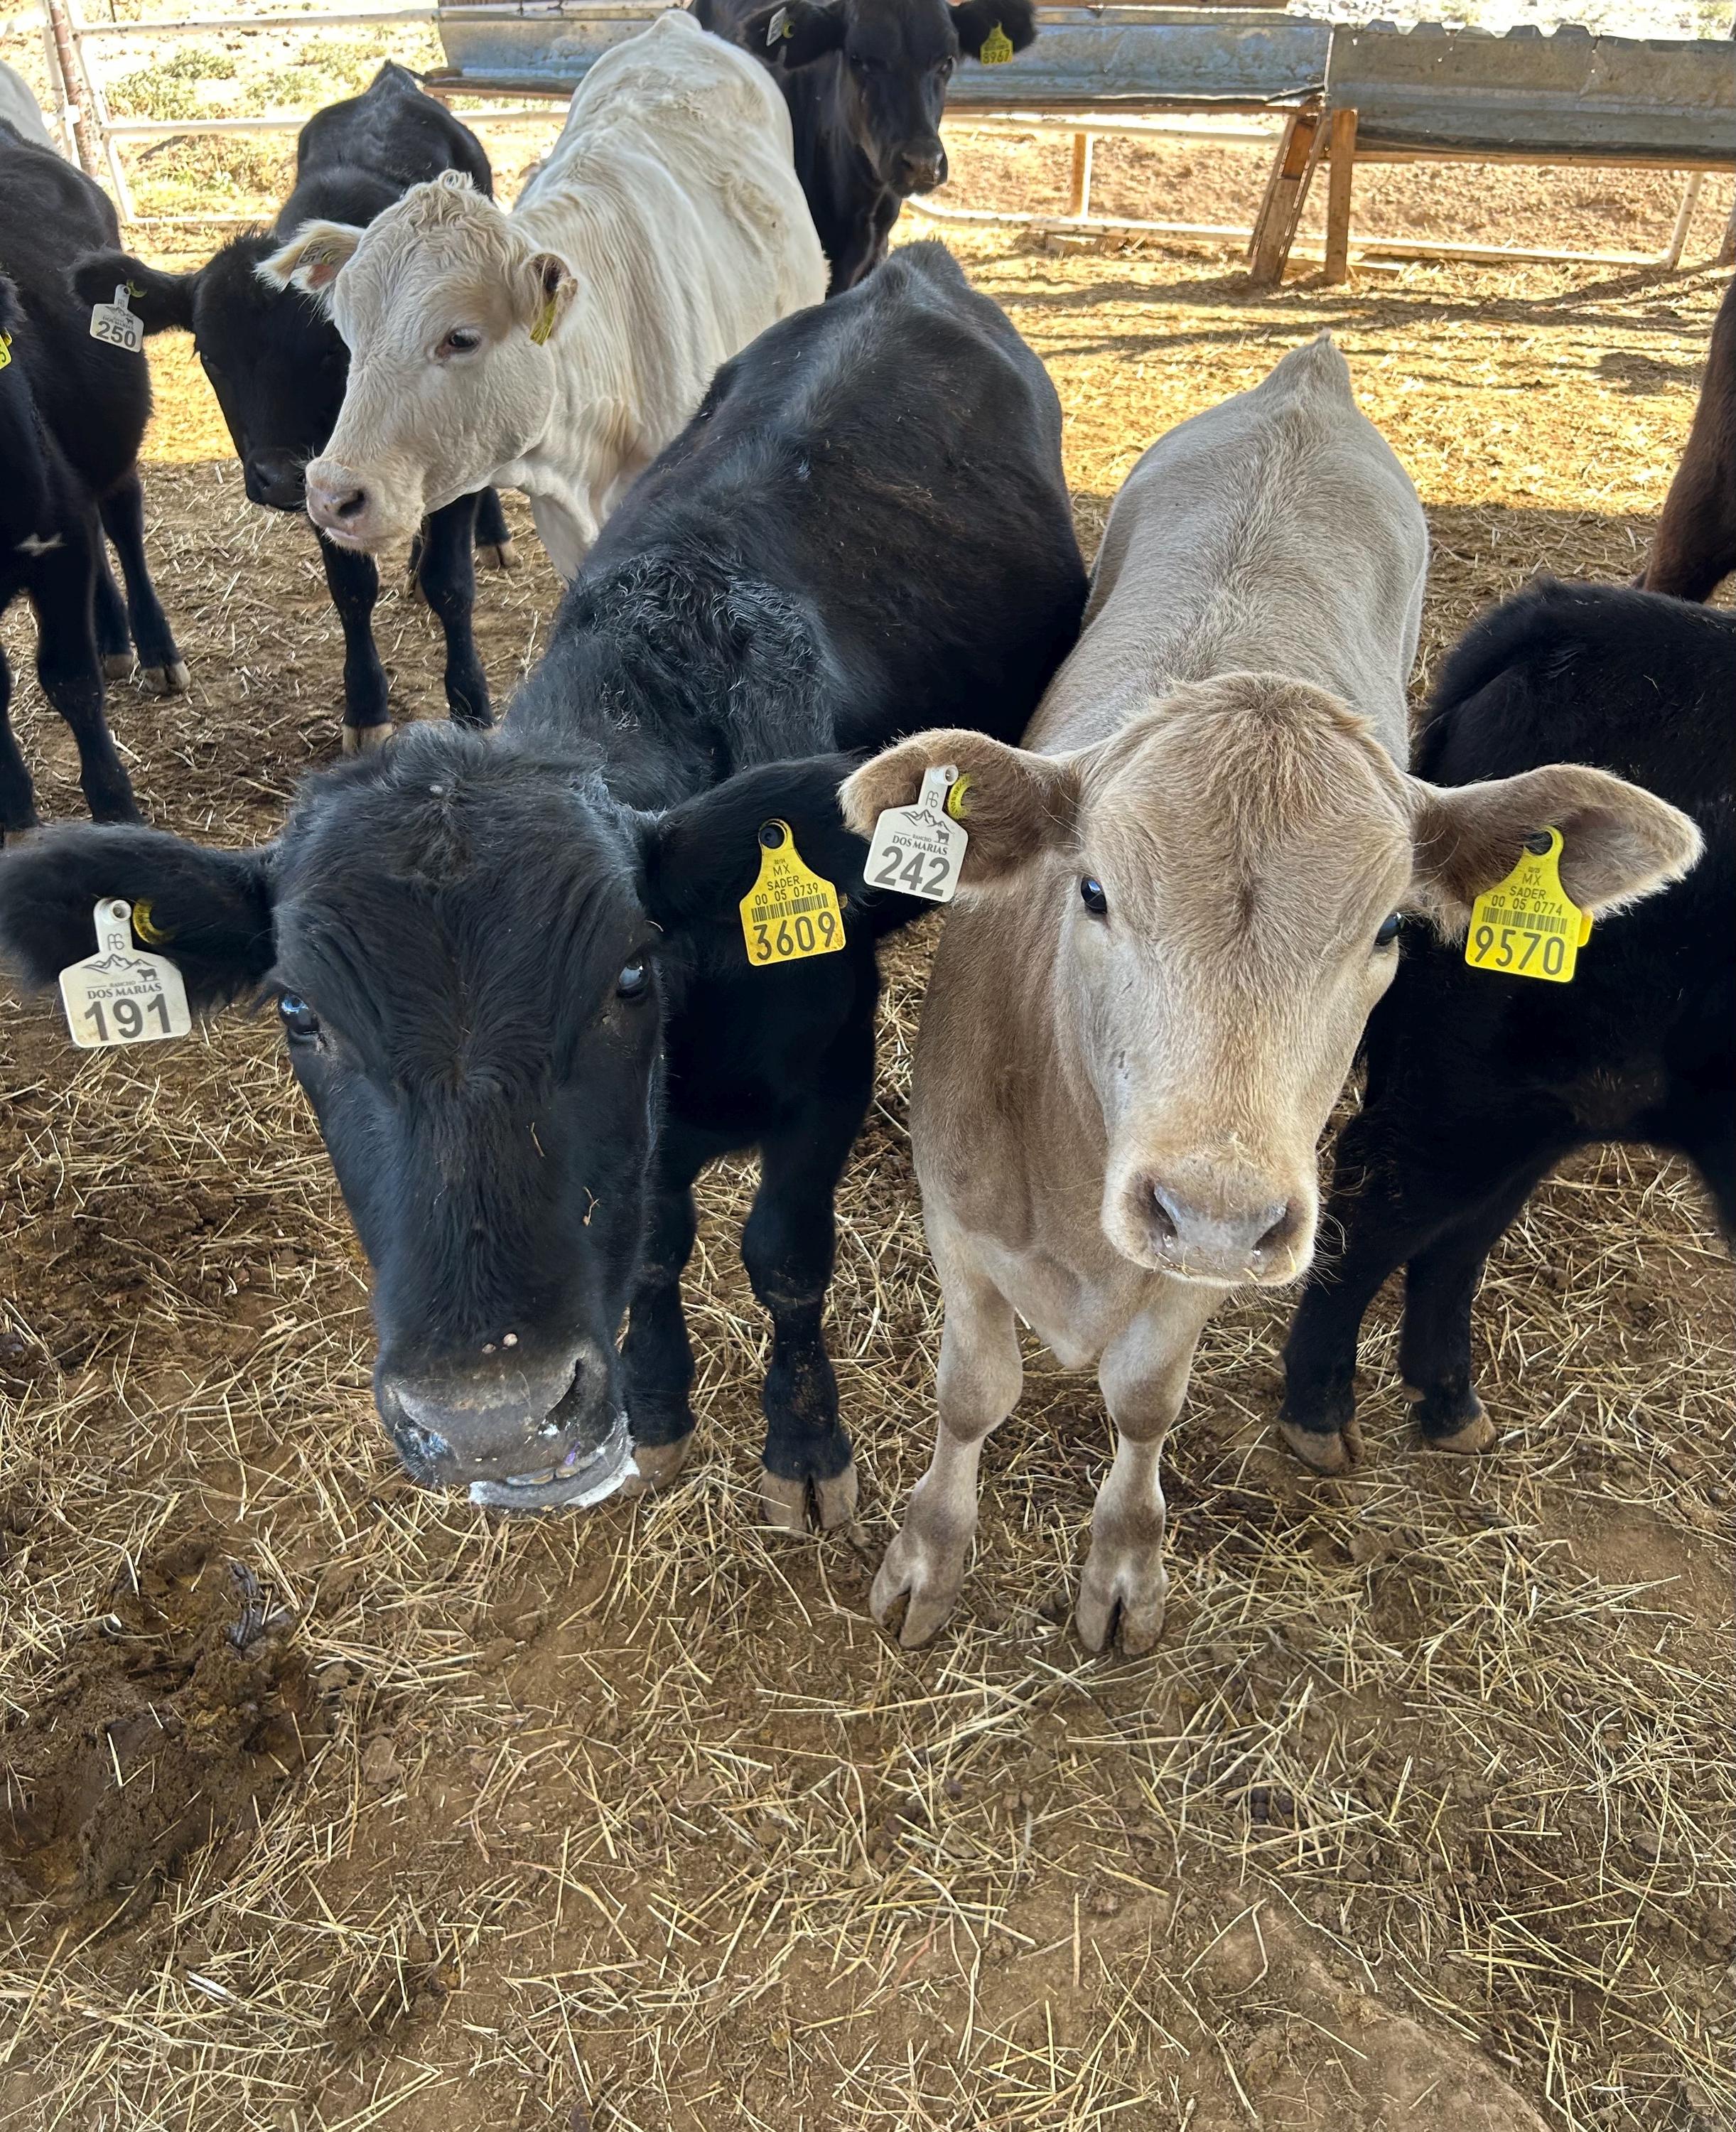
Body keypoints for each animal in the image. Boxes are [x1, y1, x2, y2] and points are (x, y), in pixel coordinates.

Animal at [0, 242, 1087, 1528]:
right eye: (299, 1011)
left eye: (626, 974)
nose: (492, 1418)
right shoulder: (648, 1152)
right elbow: (656, 1245)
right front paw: (659, 1412)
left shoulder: (826, 1068)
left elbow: (782, 1258)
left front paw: (804, 1449)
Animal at [1, 116, 187, 841]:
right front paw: (15, 810)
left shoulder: (58, 544)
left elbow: (69, 679)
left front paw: (115, 809)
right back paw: (115, 637)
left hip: (115, 450)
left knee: (123, 525)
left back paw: (155, 650)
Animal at [72, 64, 515, 756]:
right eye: (210, 355)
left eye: (334, 350)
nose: (278, 476)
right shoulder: (324, 478)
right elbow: (352, 590)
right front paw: (365, 707)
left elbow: (453, 584)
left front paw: (471, 708)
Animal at [1279, 580, 1730, 1475]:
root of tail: (1570, 617)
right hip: (1482, 1078)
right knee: (1387, 1202)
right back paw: (1320, 1409)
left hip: (1553, 1094)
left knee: (1457, 1227)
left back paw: (1447, 1401)